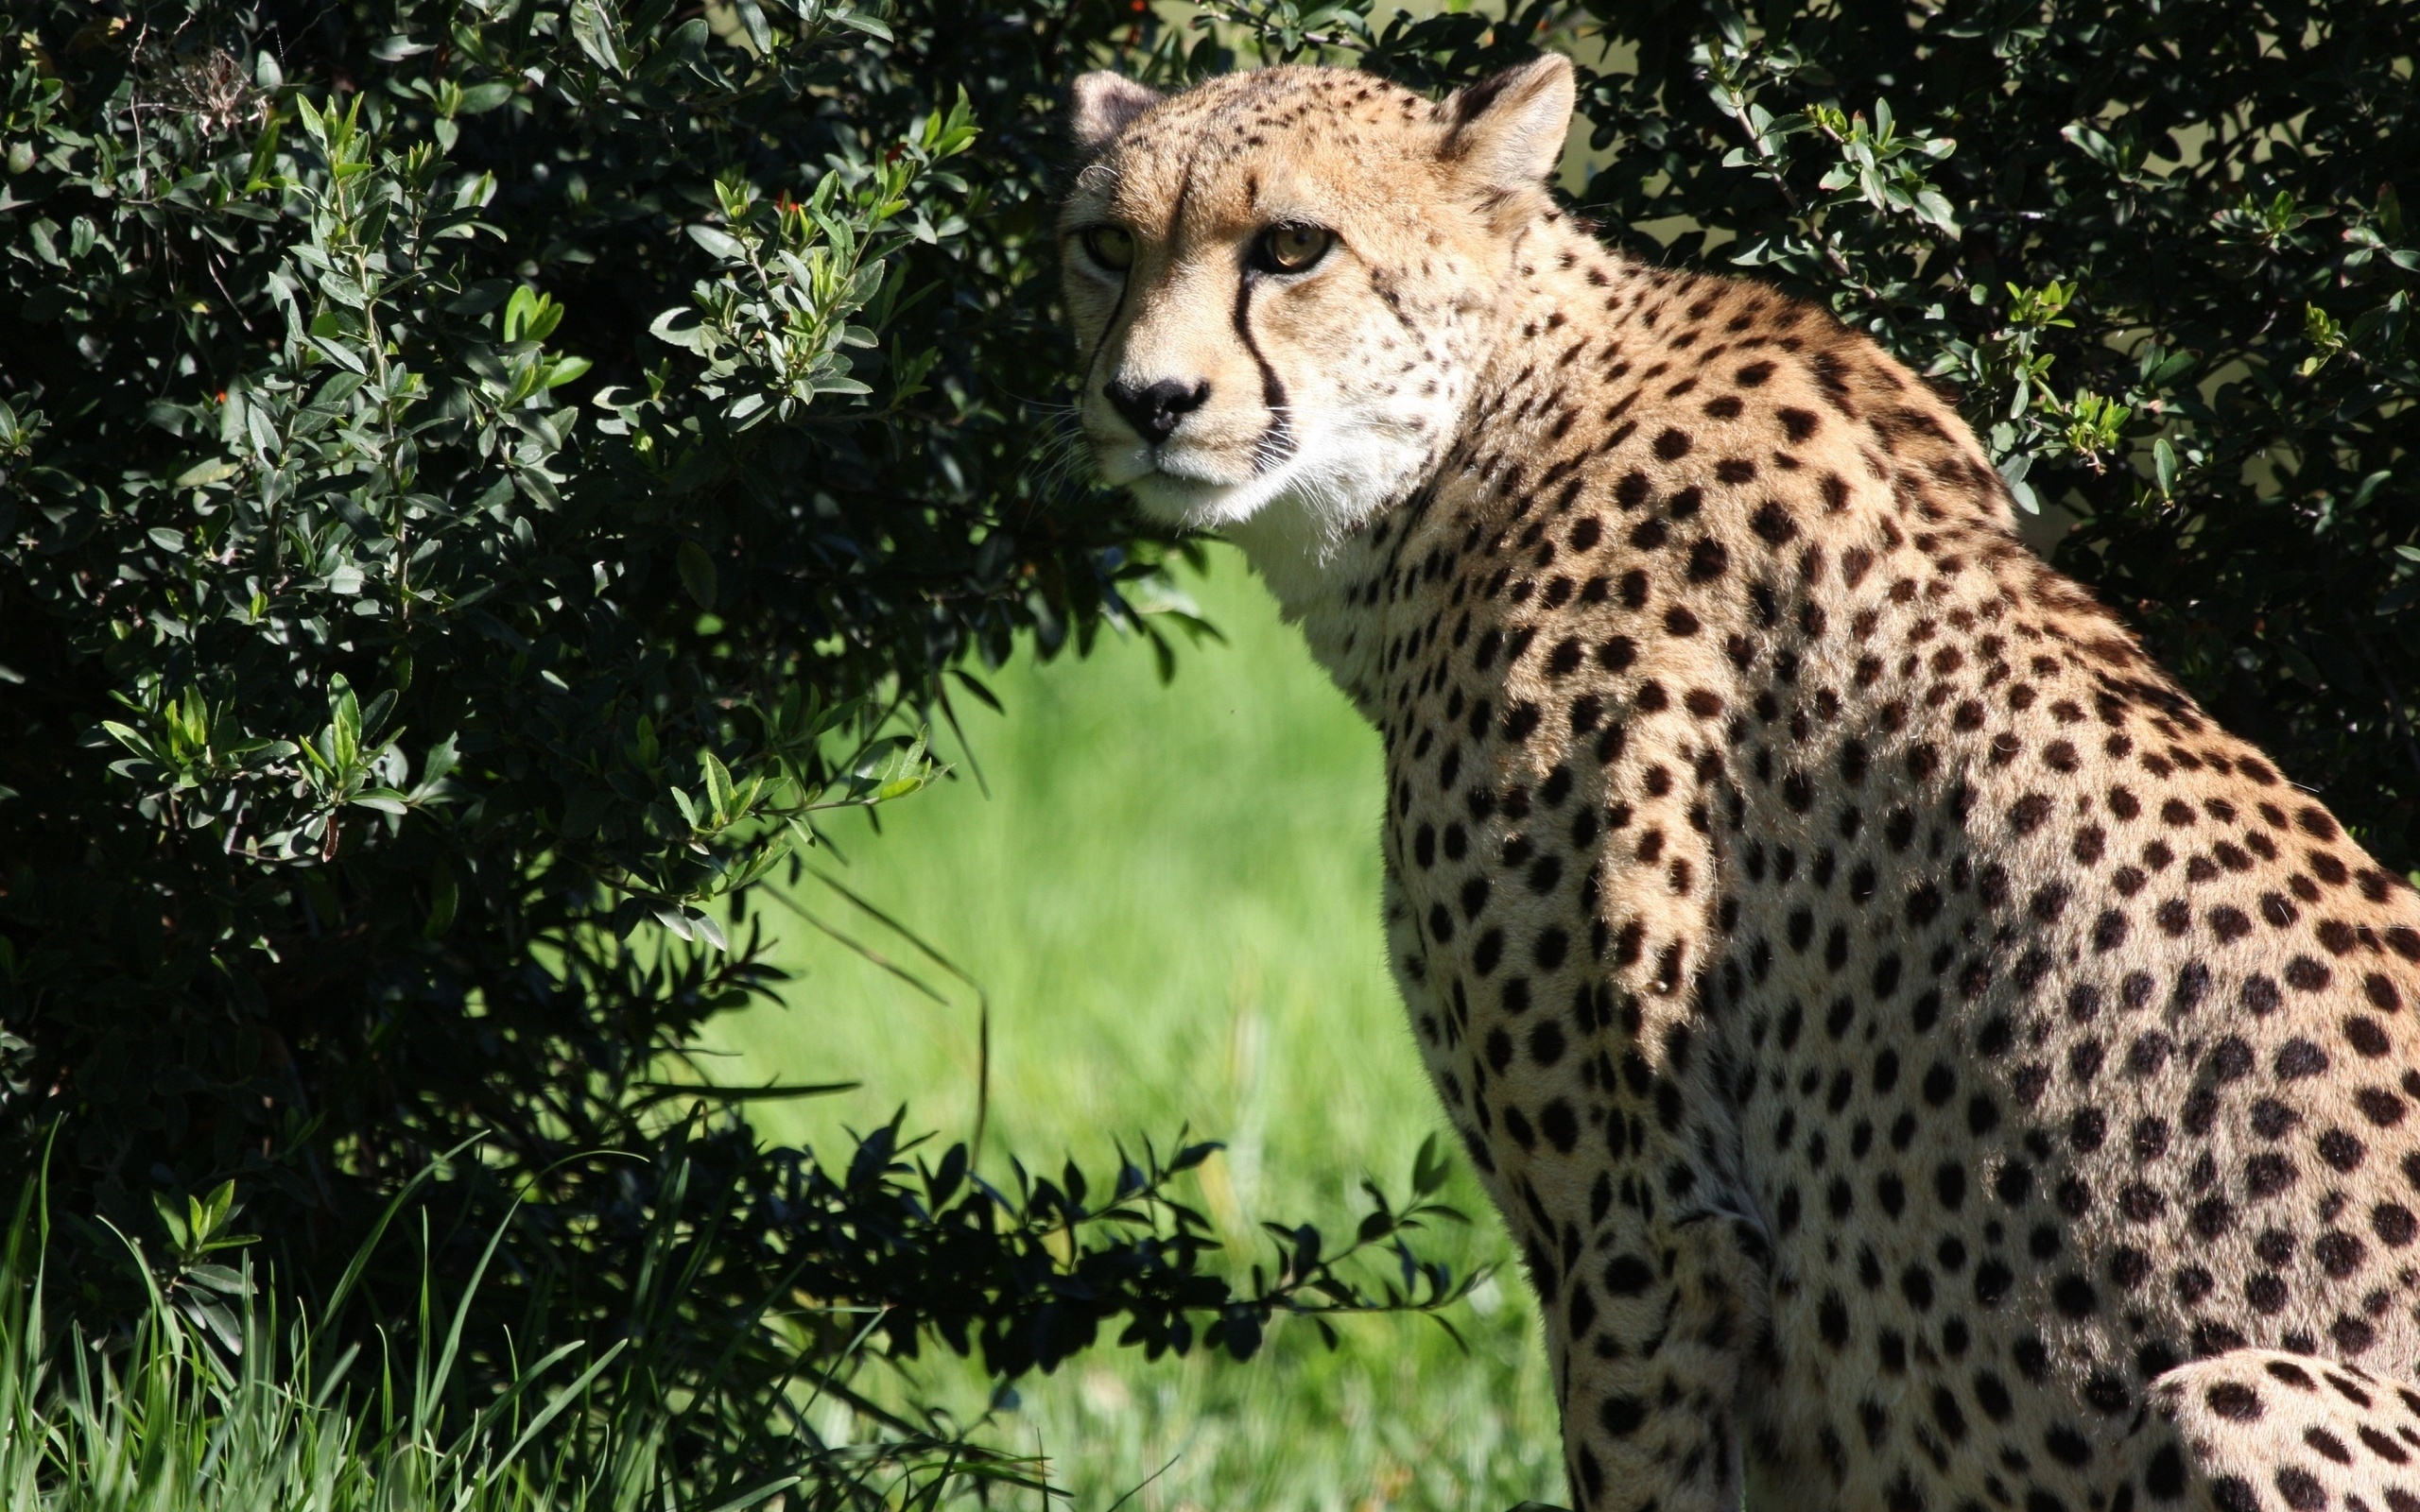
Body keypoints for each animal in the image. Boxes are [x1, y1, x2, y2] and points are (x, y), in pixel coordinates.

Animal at [1057, 52, 2420, 1512]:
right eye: (1105, 246)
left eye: (1291, 247)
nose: (1146, 400)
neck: (1475, 448)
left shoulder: (1645, 1233)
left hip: (2236, 1394)